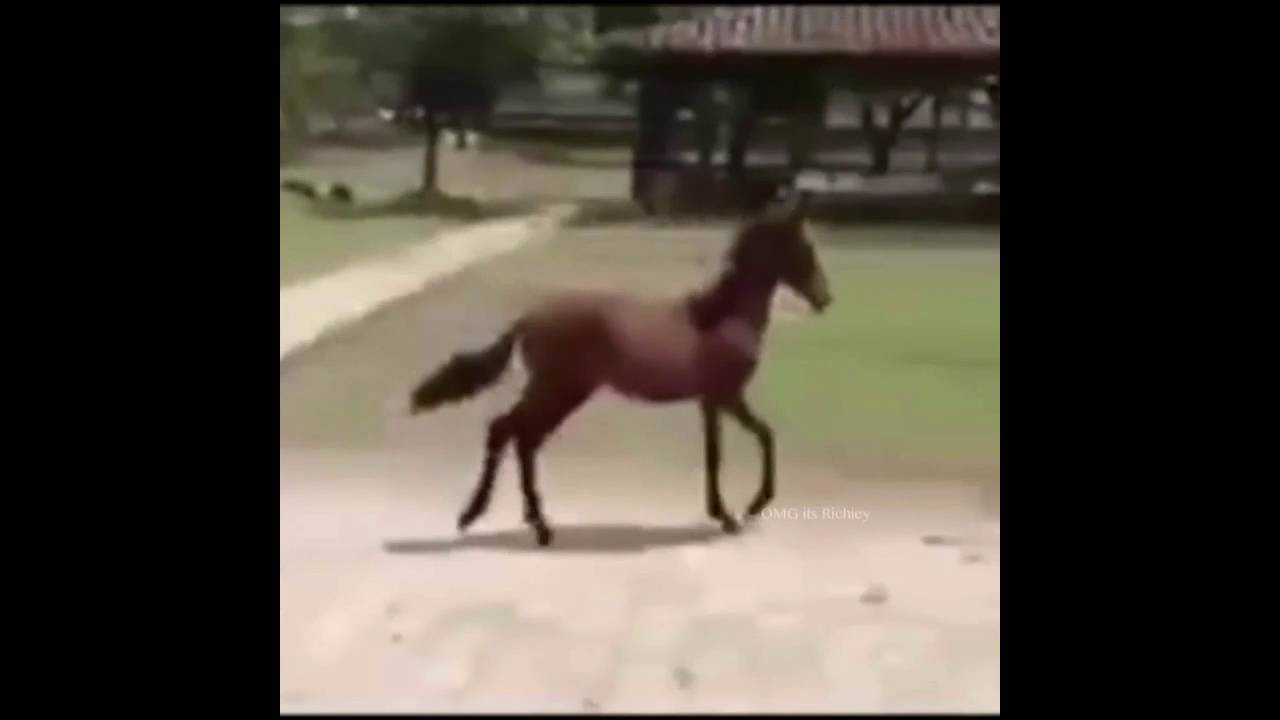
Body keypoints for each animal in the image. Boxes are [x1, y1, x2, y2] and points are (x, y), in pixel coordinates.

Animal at [408, 193, 832, 546]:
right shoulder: (727, 396)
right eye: (804, 247)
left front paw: (725, 514)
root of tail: (527, 320)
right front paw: (747, 509)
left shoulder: (709, 401)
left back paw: (513, 521)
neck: (720, 317)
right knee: (514, 432)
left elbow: (717, 453)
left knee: (516, 435)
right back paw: (519, 523)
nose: (825, 299)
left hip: (559, 390)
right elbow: (763, 438)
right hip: (562, 388)